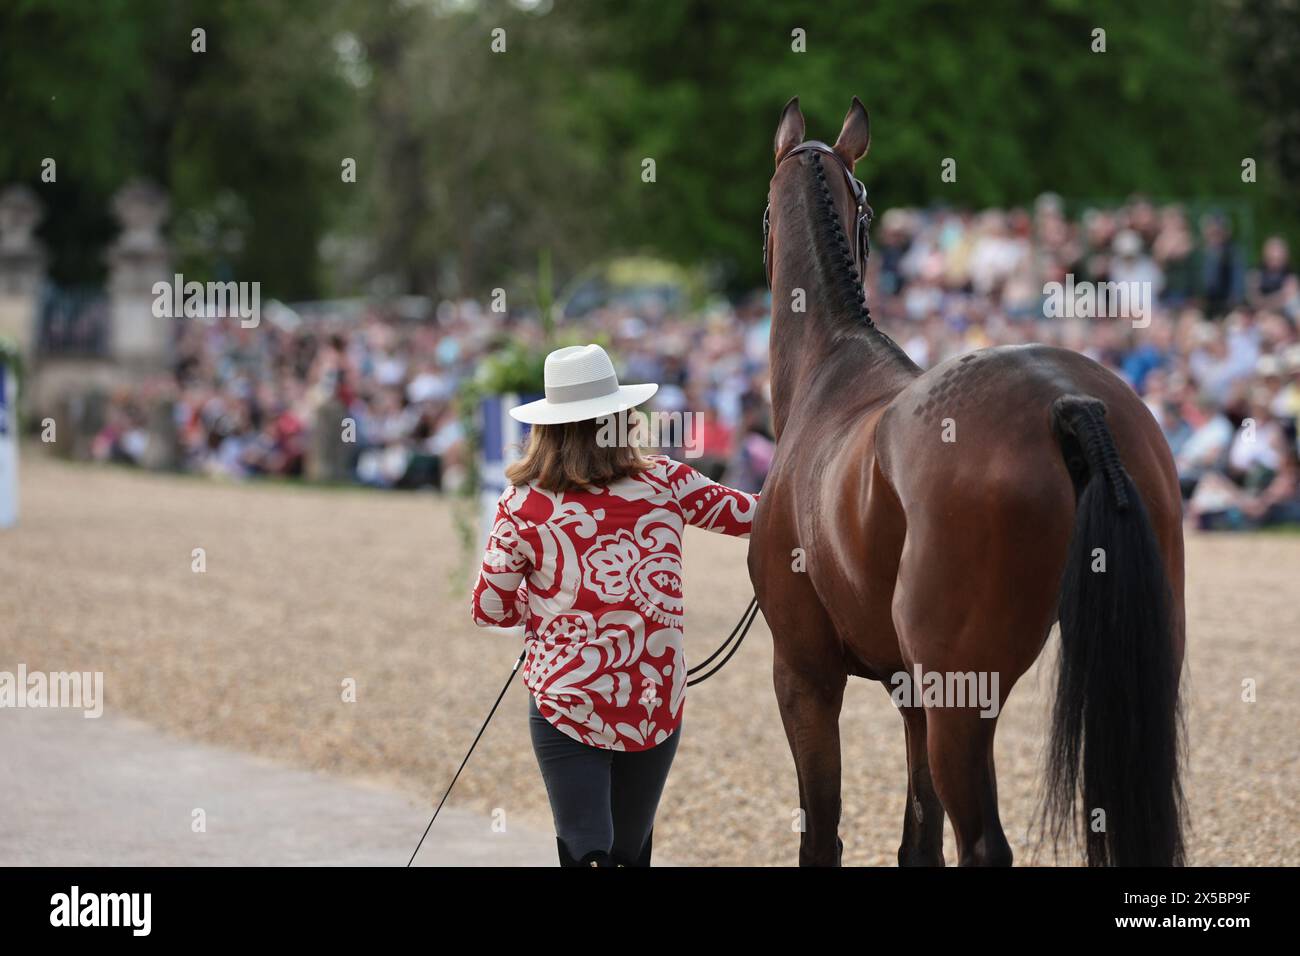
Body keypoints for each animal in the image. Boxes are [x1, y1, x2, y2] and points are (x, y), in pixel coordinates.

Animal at [748, 96, 1186, 867]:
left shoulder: (803, 674)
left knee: (984, 844)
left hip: (961, 695)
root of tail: (1070, 402)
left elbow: (822, 831)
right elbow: (917, 839)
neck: (829, 373)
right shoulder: (909, 691)